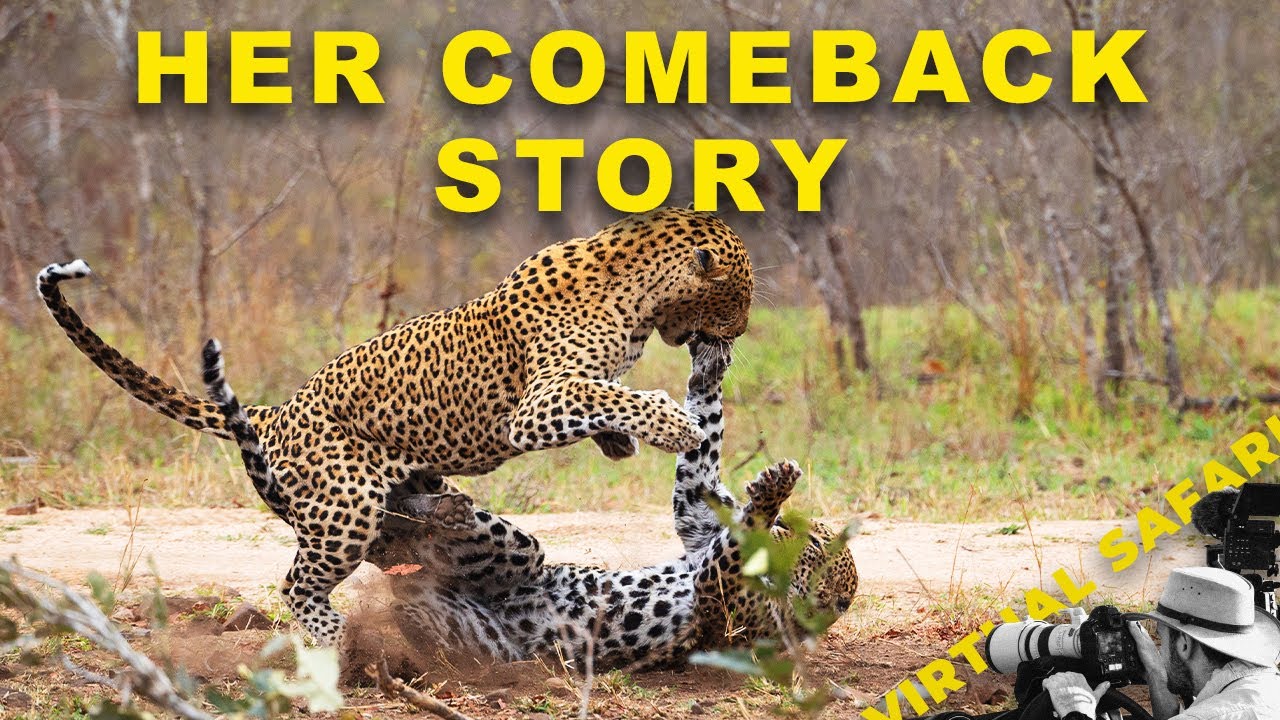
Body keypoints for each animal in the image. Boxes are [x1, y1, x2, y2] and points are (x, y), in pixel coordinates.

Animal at [36, 207, 754, 646]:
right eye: (741, 295)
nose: (742, 332)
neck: (637, 290)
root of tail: (279, 411)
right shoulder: (533, 407)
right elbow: (612, 395)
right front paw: (672, 425)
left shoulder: (571, 391)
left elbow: (605, 397)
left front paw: (621, 439)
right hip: (342, 512)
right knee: (297, 582)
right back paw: (333, 638)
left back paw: (447, 517)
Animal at [201, 333, 858, 671]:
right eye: (814, 540)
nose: (791, 524)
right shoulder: (698, 518)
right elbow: (702, 444)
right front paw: (713, 365)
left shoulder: (720, 589)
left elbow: (740, 540)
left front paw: (772, 489)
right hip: (513, 547)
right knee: (389, 532)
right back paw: (433, 499)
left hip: (494, 577)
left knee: (380, 552)